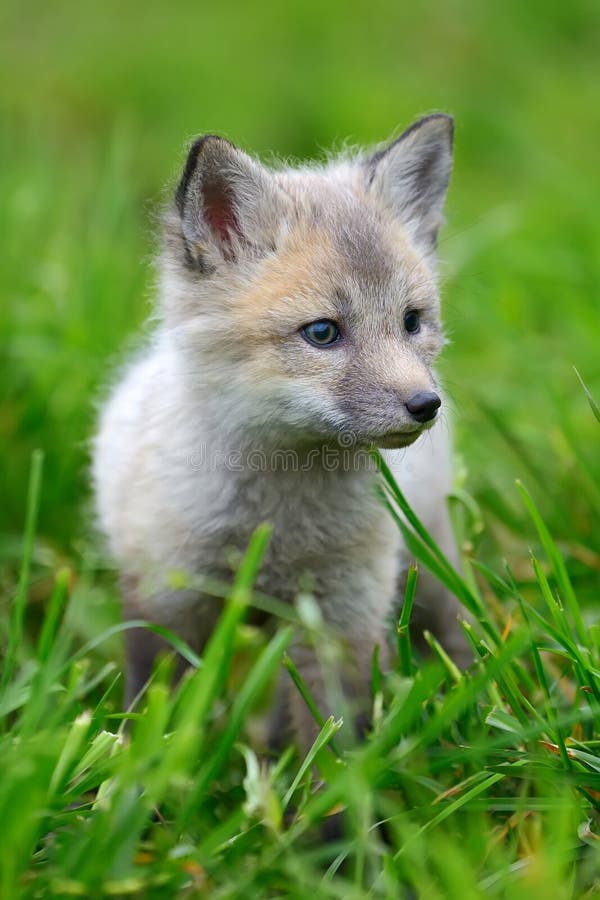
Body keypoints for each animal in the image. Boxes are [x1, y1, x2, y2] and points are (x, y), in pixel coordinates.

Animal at [93, 113, 469, 751]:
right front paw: (136, 770)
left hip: (427, 564)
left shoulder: (343, 614)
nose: (426, 404)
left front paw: (328, 783)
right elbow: (154, 705)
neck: (275, 523)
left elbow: (332, 740)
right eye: (322, 332)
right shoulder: (168, 593)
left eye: (412, 322)